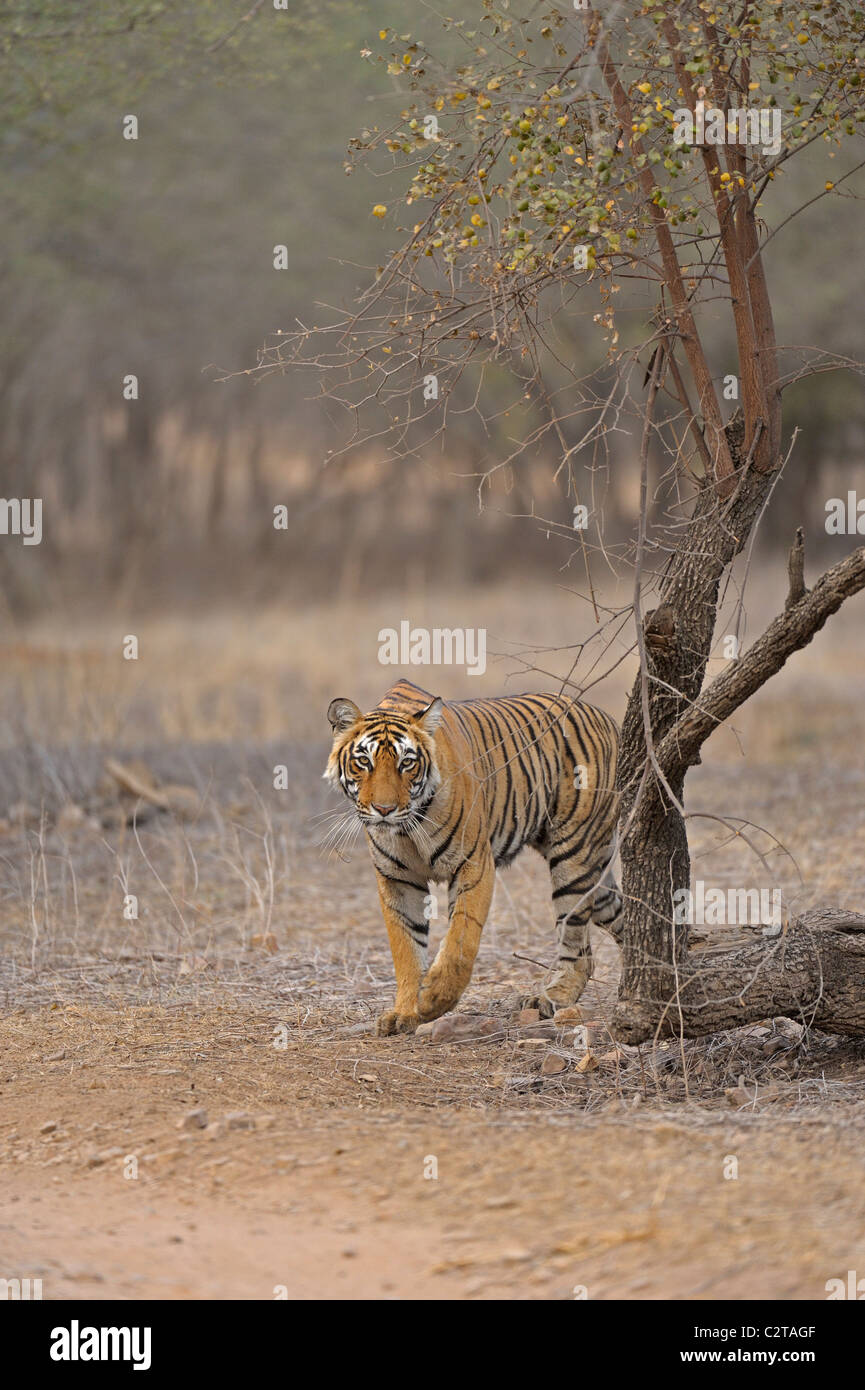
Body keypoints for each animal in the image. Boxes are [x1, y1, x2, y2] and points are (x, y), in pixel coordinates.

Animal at [324, 677, 622, 1036]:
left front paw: (433, 1000)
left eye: (406, 763)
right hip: (594, 871)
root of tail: (605, 716)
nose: (384, 810)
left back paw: (551, 998)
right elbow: (406, 948)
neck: (408, 829)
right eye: (364, 762)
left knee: (578, 943)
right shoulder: (397, 879)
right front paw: (404, 1013)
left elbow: (461, 940)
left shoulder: (474, 864)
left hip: (574, 858)